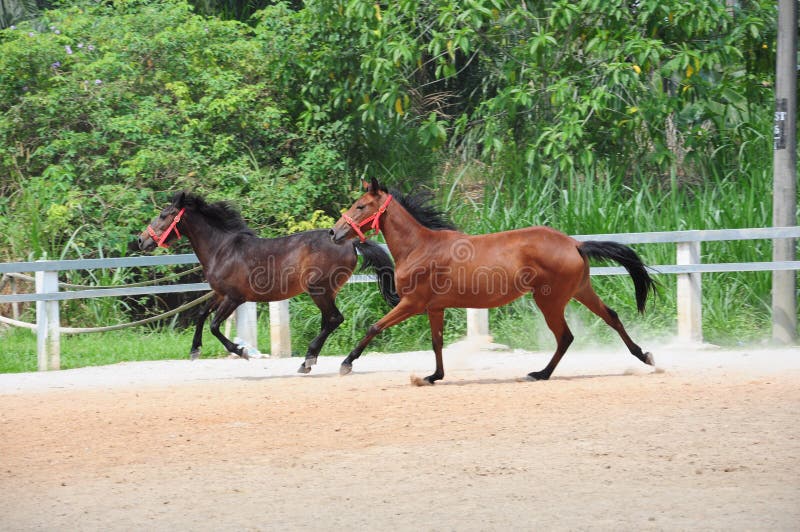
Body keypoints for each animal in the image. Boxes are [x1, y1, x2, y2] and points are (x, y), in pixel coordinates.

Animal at [138, 191, 398, 369]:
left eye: (163, 215)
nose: (141, 240)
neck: (222, 249)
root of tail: (349, 242)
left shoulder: (234, 298)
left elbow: (214, 325)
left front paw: (241, 351)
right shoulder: (220, 294)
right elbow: (202, 315)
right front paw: (194, 350)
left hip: (318, 289)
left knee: (334, 319)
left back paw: (308, 361)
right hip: (326, 292)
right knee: (329, 321)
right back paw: (310, 359)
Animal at [329, 178, 657, 385]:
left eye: (360, 205)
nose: (334, 232)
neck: (419, 247)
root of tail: (575, 244)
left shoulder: (413, 303)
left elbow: (374, 327)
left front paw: (346, 364)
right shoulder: (434, 308)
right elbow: (437, 342)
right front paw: (434, 376)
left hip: (549, 300)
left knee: (565, 336)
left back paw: (539, 374)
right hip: (579, 290)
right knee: (611, 317)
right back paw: (644, 356)